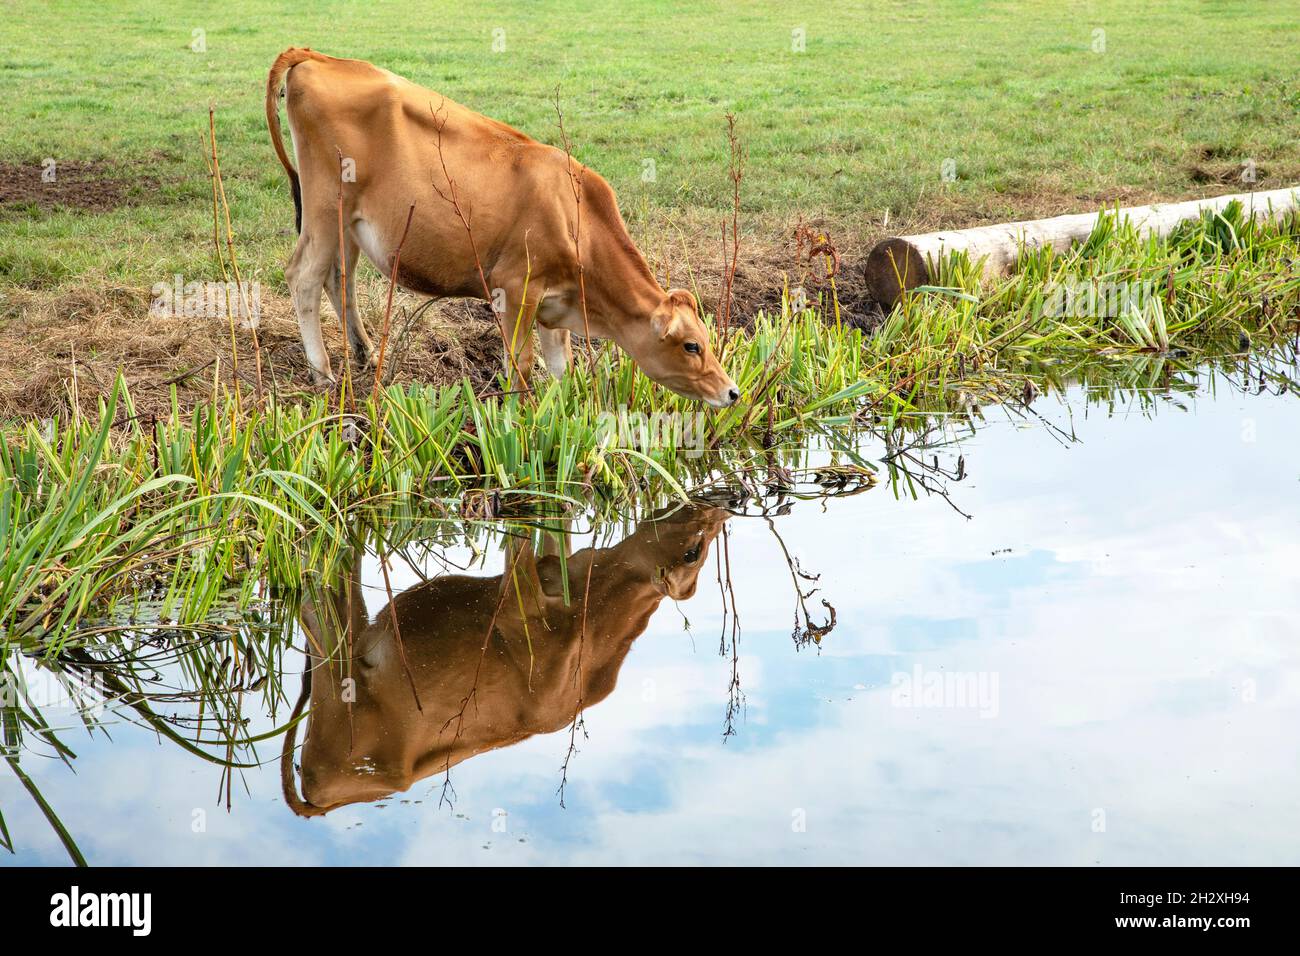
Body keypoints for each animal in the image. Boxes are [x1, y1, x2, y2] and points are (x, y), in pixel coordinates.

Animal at [265, 48, 740, 406]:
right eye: (691, 345)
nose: (732, 392)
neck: (577, 220)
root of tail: (317, 56)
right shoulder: (515, 288)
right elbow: (521, 364)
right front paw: (521, 413)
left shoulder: (555, 306)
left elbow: (561, 366)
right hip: (324, 204)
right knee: (303, 276)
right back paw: (323, 374)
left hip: (347, 223)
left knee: (338, 277)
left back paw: (363, 355)